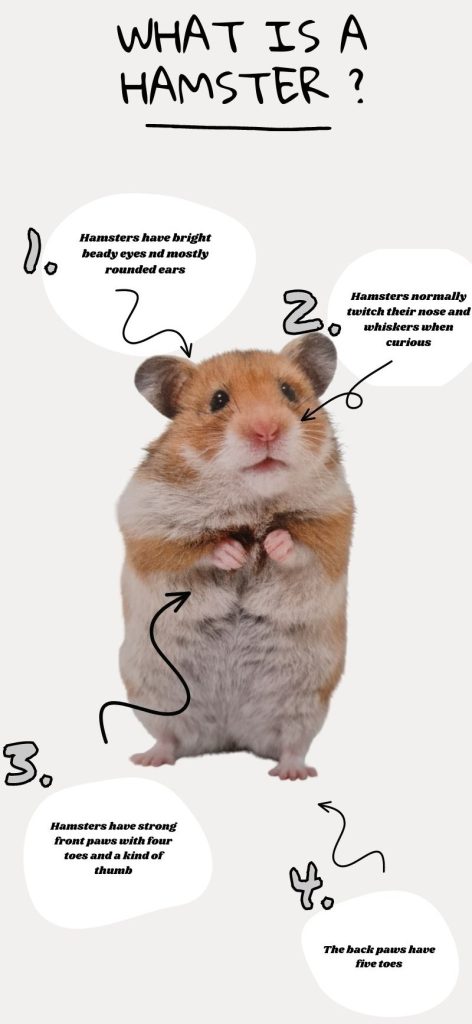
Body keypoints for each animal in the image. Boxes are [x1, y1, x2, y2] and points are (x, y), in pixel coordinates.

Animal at [117, 333, 354, 780]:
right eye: (218, 400)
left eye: (289, 392)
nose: (267, 430)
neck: (251, 502)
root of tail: (230, 735)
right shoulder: (147, 528)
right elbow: (193, 550)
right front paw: (233, 553)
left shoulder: (334, 525)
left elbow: (298, 545)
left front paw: (272, 543)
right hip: (153, 693)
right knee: (170, 737)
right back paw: (148, 759)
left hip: (305, 703)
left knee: (292, 743)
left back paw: (293, 773)